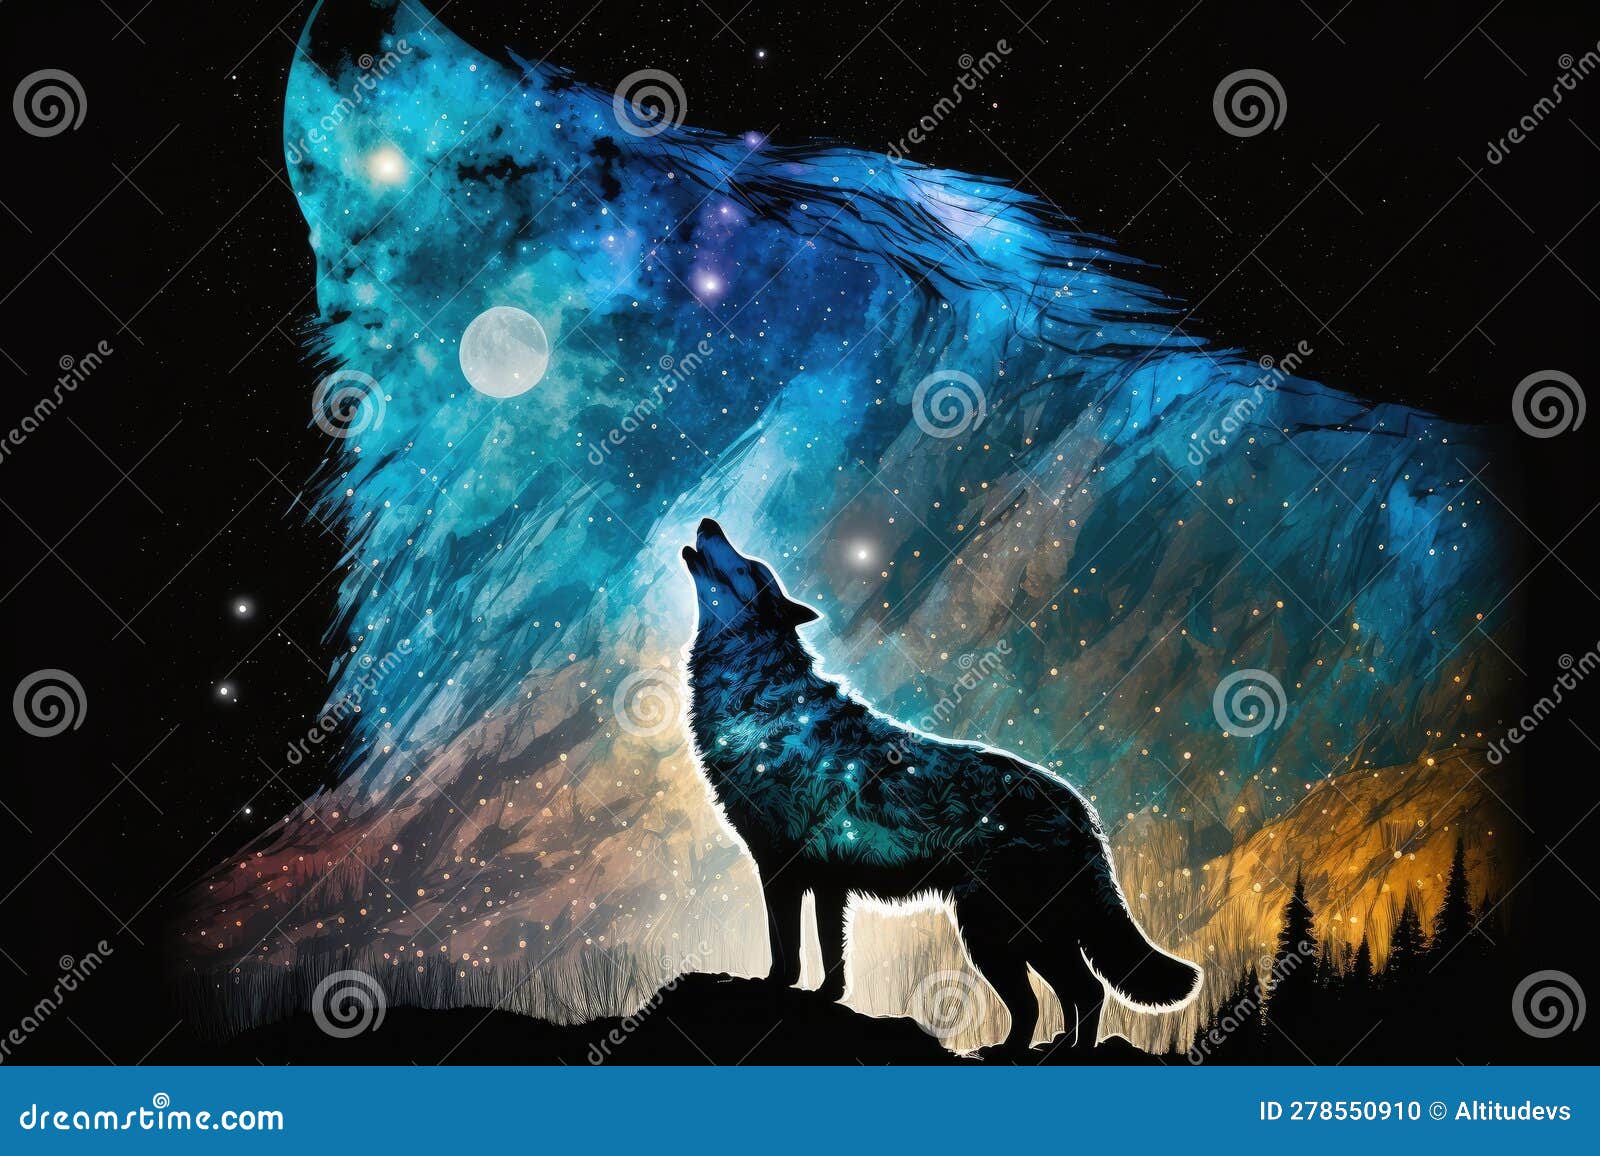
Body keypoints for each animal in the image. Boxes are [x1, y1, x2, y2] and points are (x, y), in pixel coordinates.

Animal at [683, 518, 1202, 1056]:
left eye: (746, 566)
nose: (709, 523)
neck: (760, 696)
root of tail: (1082, 810)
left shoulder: (777, 868)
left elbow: (784, 954)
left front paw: (770, 989)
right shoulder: (827, 882)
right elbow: (831, 958)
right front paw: (825, 997)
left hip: (994, 932)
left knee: (1062, 996)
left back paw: (1030, 1054)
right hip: (1027, 935)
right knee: (1077, 993)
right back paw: (1050, 1049)